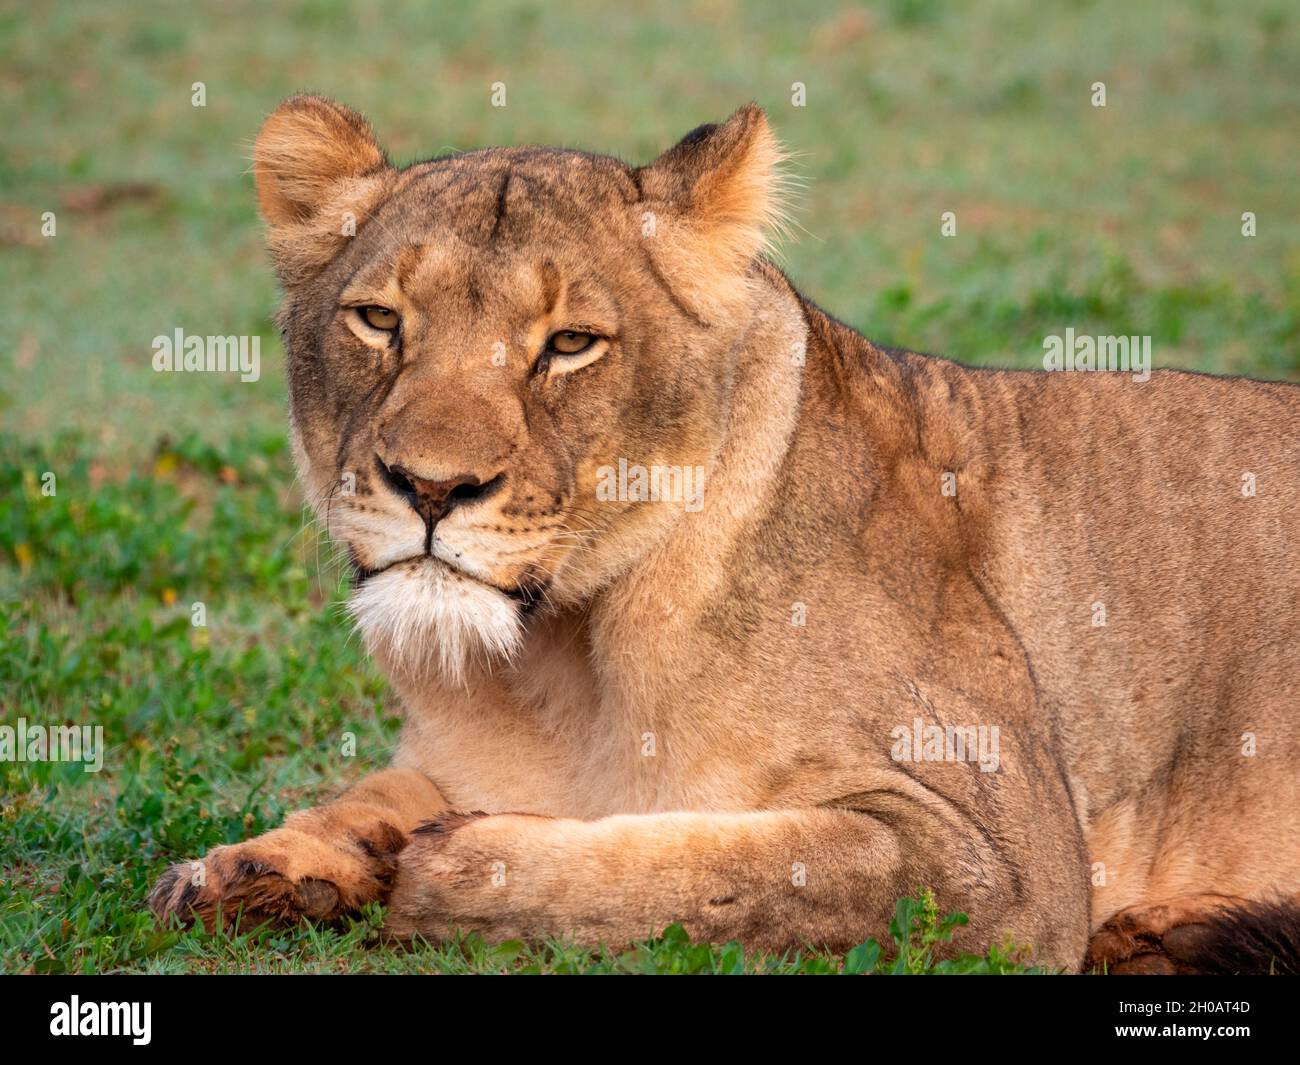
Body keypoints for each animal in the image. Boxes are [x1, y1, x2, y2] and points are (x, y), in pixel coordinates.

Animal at [150, 95, 1300, 974]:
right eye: (380, 320)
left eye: (570, 344)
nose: (432, 486)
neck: (565, 664)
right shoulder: (451, 756)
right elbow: (364, 796)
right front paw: (248, 865)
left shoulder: (1002, 863)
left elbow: (710, 874)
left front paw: (452, 869)